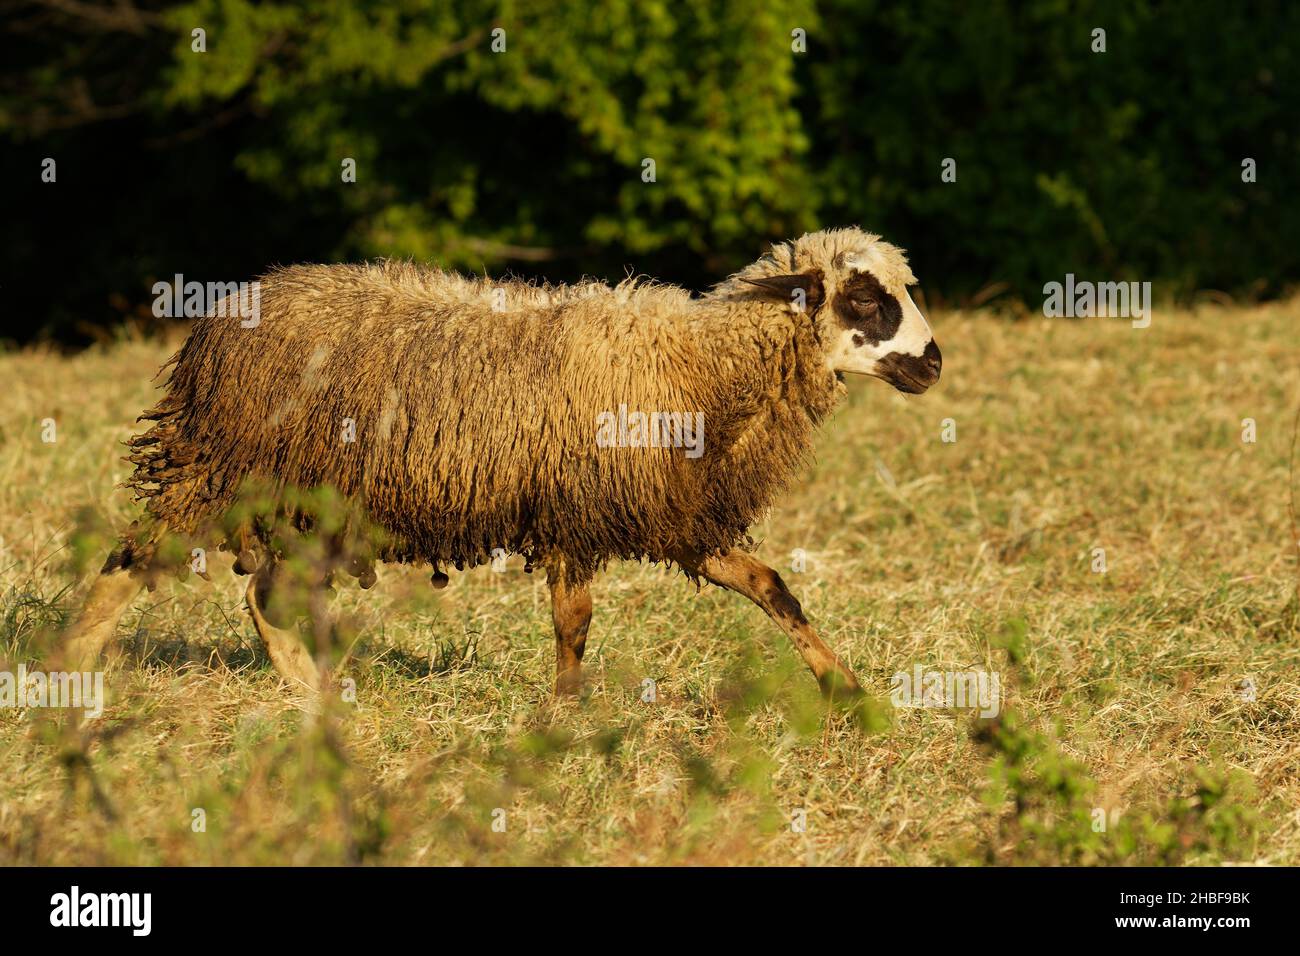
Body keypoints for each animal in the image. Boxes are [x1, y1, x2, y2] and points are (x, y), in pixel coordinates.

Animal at [60, 226, 942, 702]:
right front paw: (564, 716)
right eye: (866, 300)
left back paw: (315, 693)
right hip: (215, 468)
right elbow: (574, 622)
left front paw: (847, 691)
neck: (698, 364)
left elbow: (771, 588)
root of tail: (223, 314)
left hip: (309, 501)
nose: (934, 362)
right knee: (132, 560)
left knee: (263, 595)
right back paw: (65, 670)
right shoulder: (578, 512)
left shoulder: (679, 518)